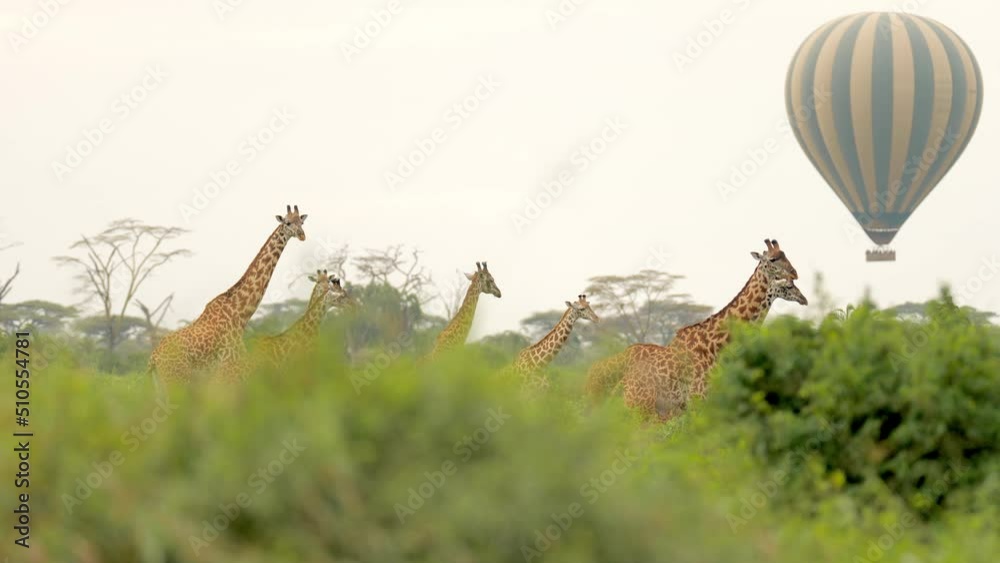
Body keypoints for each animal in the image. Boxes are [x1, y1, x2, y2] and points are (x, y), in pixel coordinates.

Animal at [148, 205, 308, 385]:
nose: (302, 235)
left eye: (301, 222)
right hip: (176, 379)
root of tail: (154, 359)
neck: (241, 313)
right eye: (287, 223)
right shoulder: (230, 366)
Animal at [584, 239, 805, 421]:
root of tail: (623, 385)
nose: (795, 275)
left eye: (786, 257)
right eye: (774, 259)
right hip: (641, 411)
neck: (717, 346)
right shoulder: (699, 401)